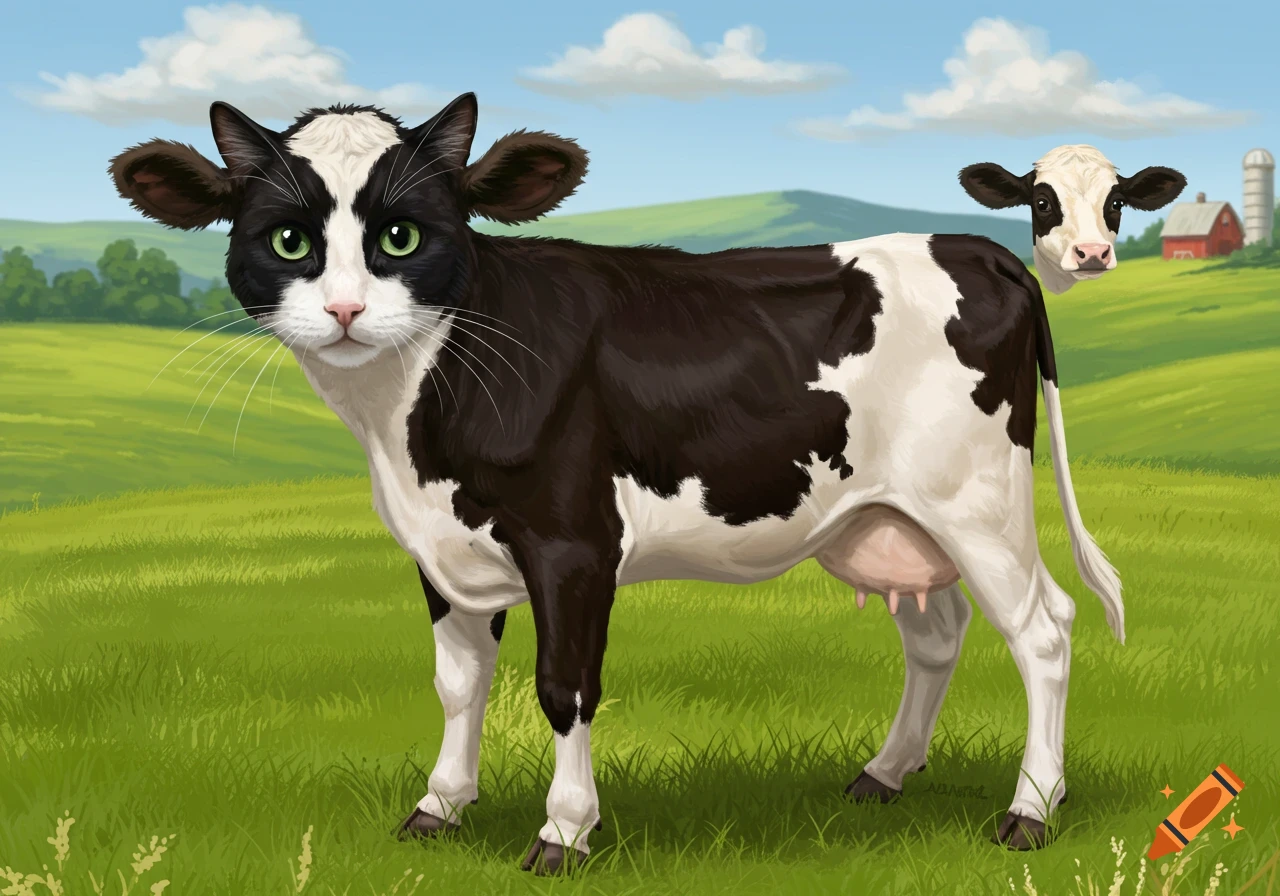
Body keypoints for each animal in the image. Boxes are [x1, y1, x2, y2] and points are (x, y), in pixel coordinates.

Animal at [109, 93, 1126, 874]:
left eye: (401, 234)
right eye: (288, 240)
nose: (347, 310)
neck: (407, 430)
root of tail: (979, 248)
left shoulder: (572, 547)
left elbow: (564, 686)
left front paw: (563, 832)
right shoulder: (440, 550)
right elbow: (457, 683)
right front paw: (440, 807)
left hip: (978, 501)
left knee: (1043, 630)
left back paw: (1030, 811)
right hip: (883, 517)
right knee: (937, 632)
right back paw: (883, 774)